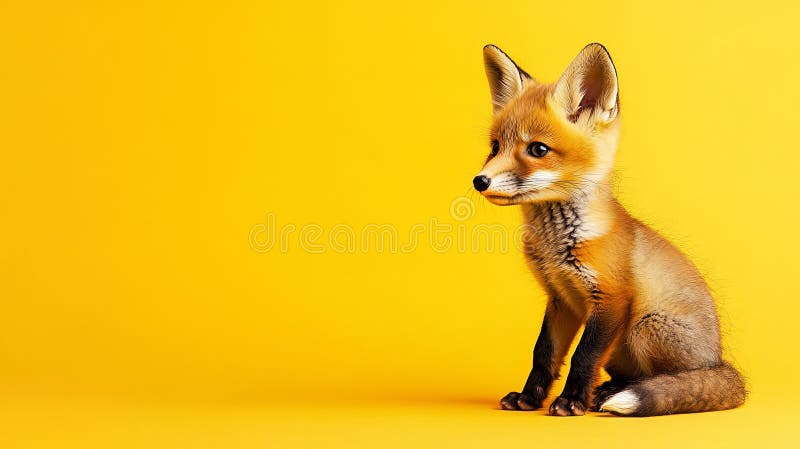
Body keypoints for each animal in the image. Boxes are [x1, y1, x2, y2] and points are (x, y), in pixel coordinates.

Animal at [473, 43, 746, 416]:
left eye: (538, 149)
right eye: (495, 147)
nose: (479, 181)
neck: (556, 245)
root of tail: (720, 362)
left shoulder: (612, 299)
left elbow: (583, 357)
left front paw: (571, 401)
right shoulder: (561, 299)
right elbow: (544, 354)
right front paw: (530, 398)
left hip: (644, 327)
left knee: (671, 381)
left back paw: (619, 393)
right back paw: (607, 390)